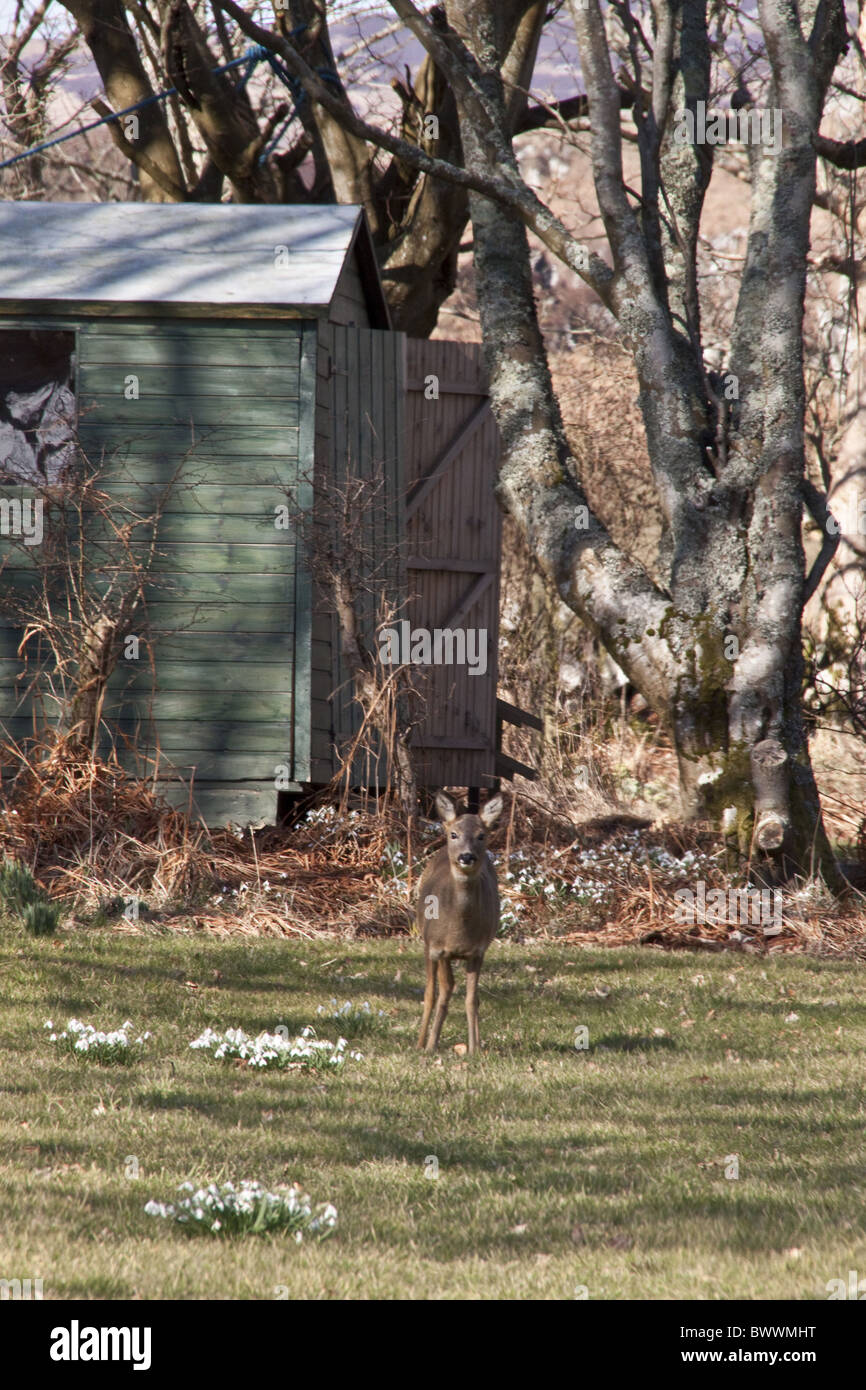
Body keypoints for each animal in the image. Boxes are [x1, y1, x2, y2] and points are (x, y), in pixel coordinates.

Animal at [416, 791, 504, 1055]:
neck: (458, 930)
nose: (466, 856)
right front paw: (430, 1046)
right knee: (433, 992)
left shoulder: (478, 951)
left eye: (481, 835)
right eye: (454, 834)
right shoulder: (438, 948)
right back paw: (421, 1042)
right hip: (427, 944)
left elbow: (471, 999)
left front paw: (474, 1049)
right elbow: (440, 996)